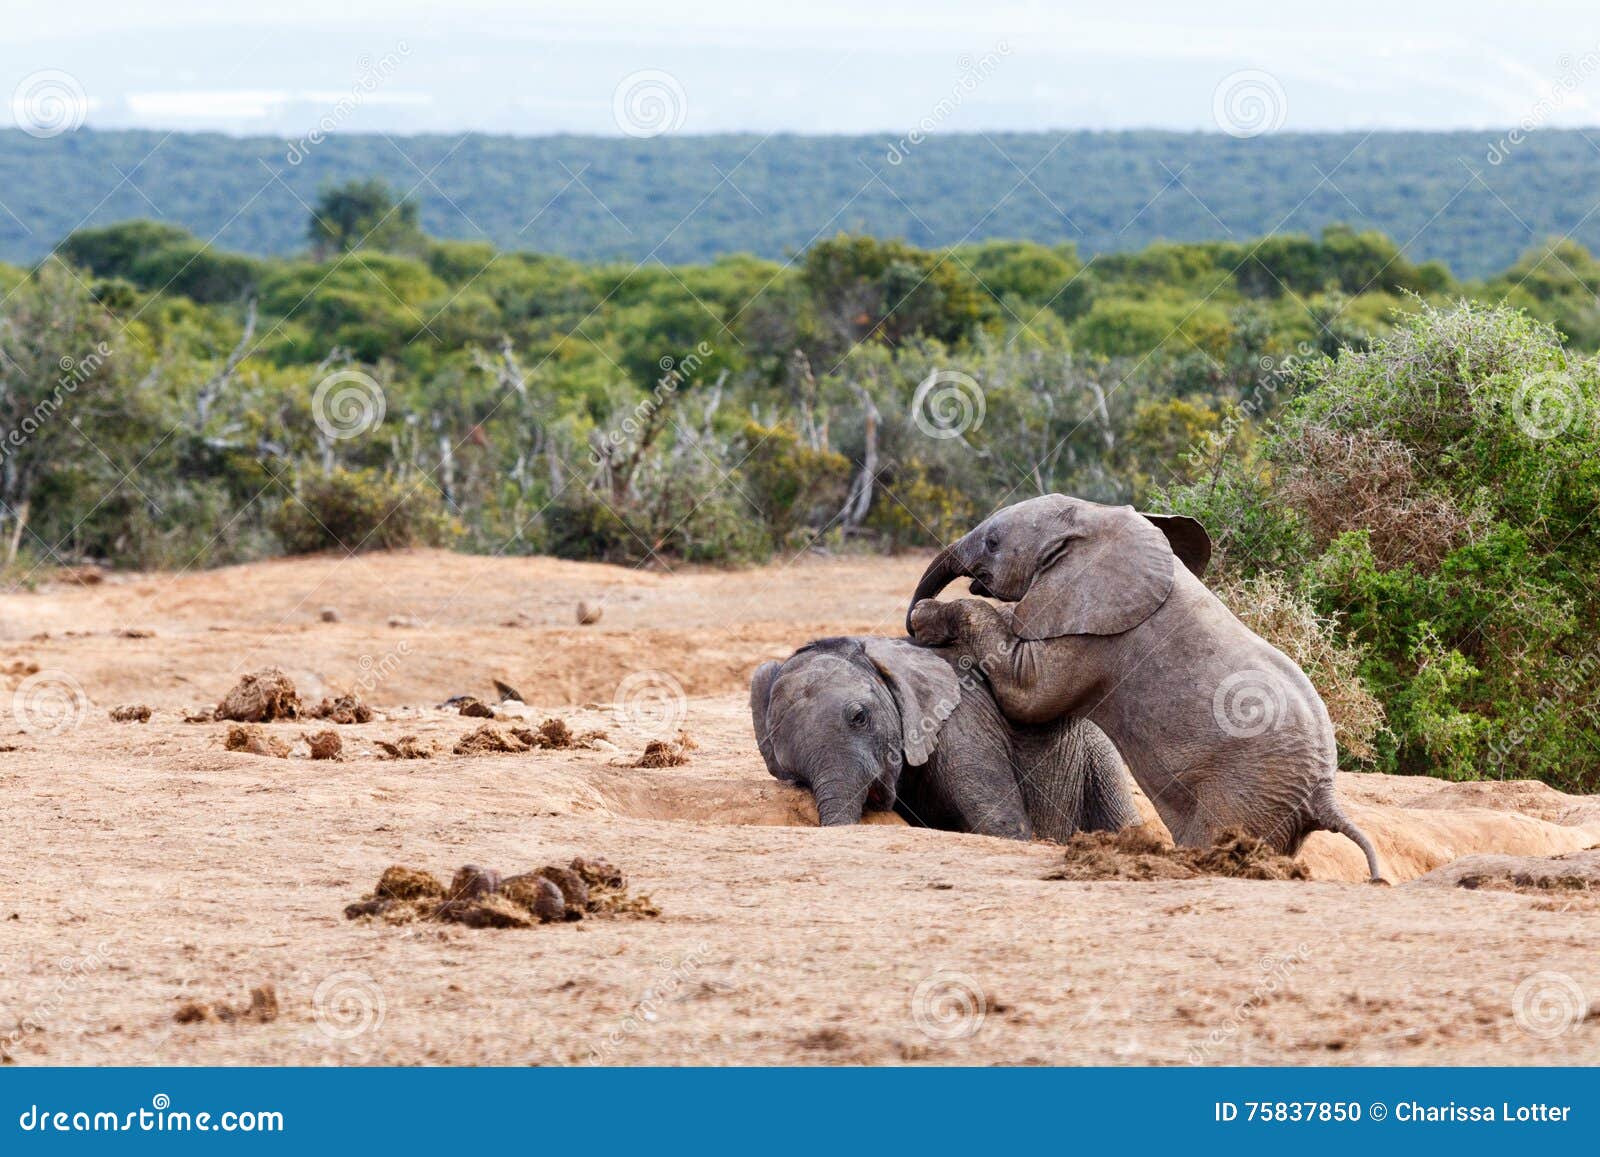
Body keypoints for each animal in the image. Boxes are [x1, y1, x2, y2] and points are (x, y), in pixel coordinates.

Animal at [905, 494, 1384, 880]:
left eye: (992, 542)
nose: (907, 623)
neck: (1095, 520)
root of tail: (1324, 793)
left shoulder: (1097, 632)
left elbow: (1029, 693)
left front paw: (928, 617)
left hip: (1246, 791)